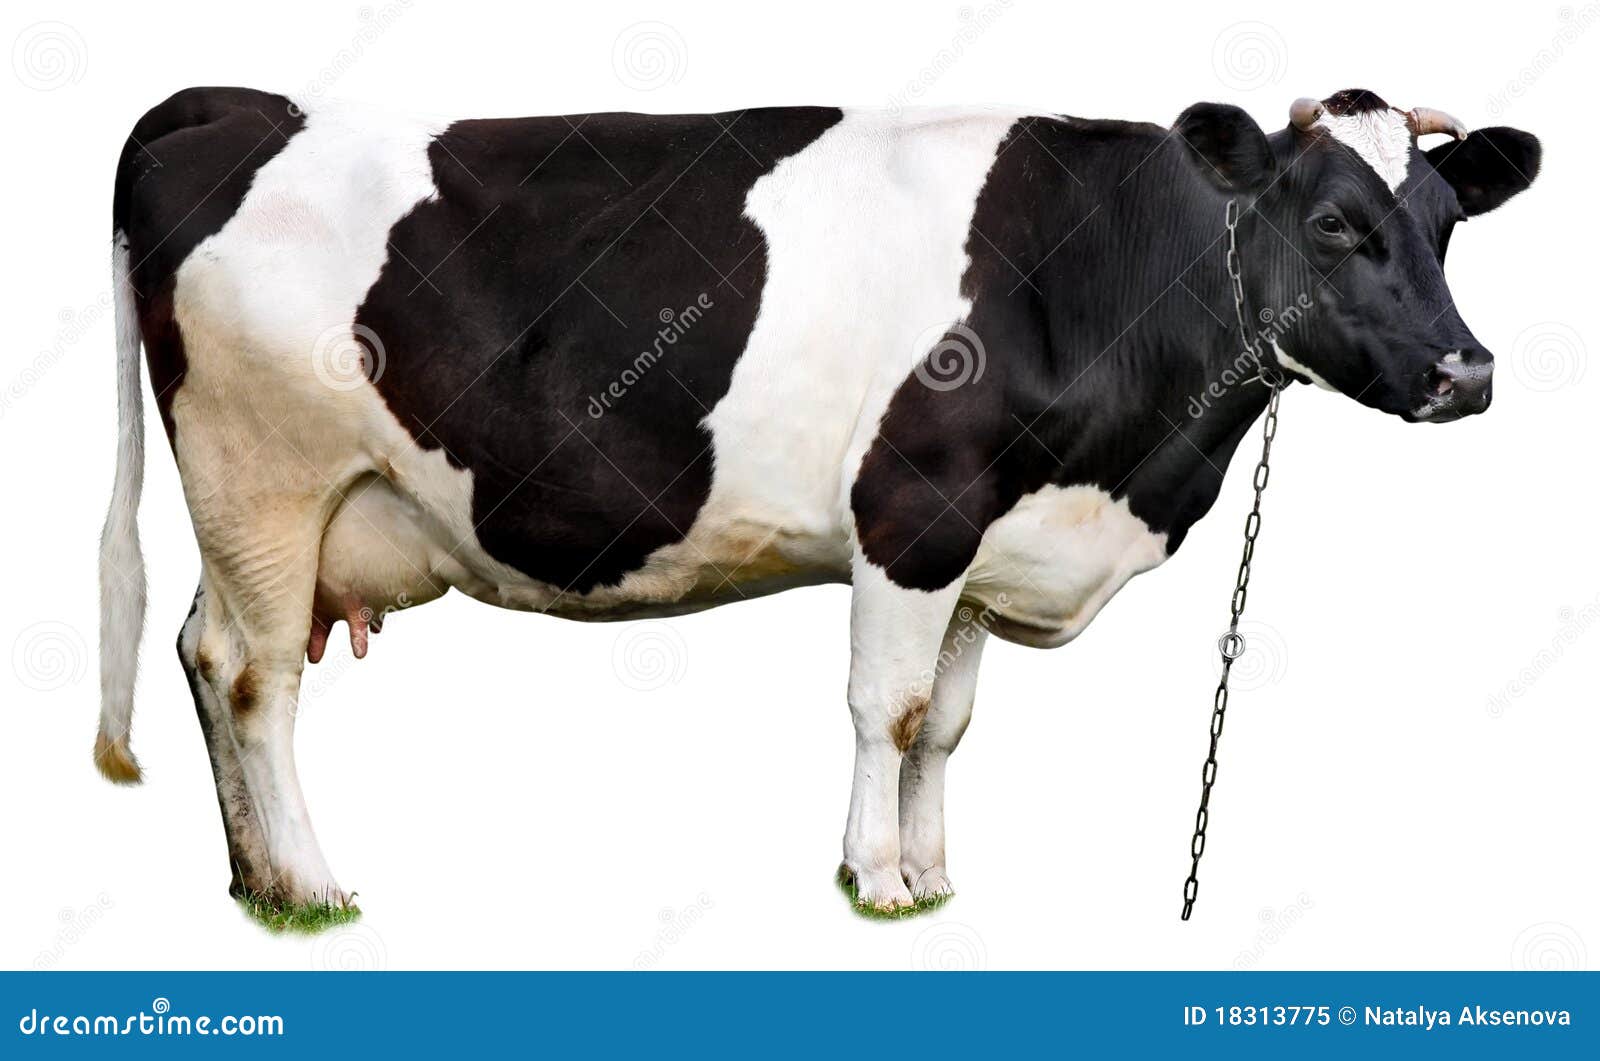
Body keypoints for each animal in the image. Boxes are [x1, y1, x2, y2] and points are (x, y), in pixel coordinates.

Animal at [97, 86, 1540, 919]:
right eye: (1336, 222)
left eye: (1444, 223)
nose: (1469, 372)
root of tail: (236, 112)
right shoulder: (912, 516)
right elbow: (885, 710)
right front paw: (878, 879)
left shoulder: (982, 549)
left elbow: (945, 725)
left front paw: (935, 870)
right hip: (266, 477)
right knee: (255, 679)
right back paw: (312, 883)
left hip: (252, 514)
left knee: (200, 651)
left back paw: (249, 876)